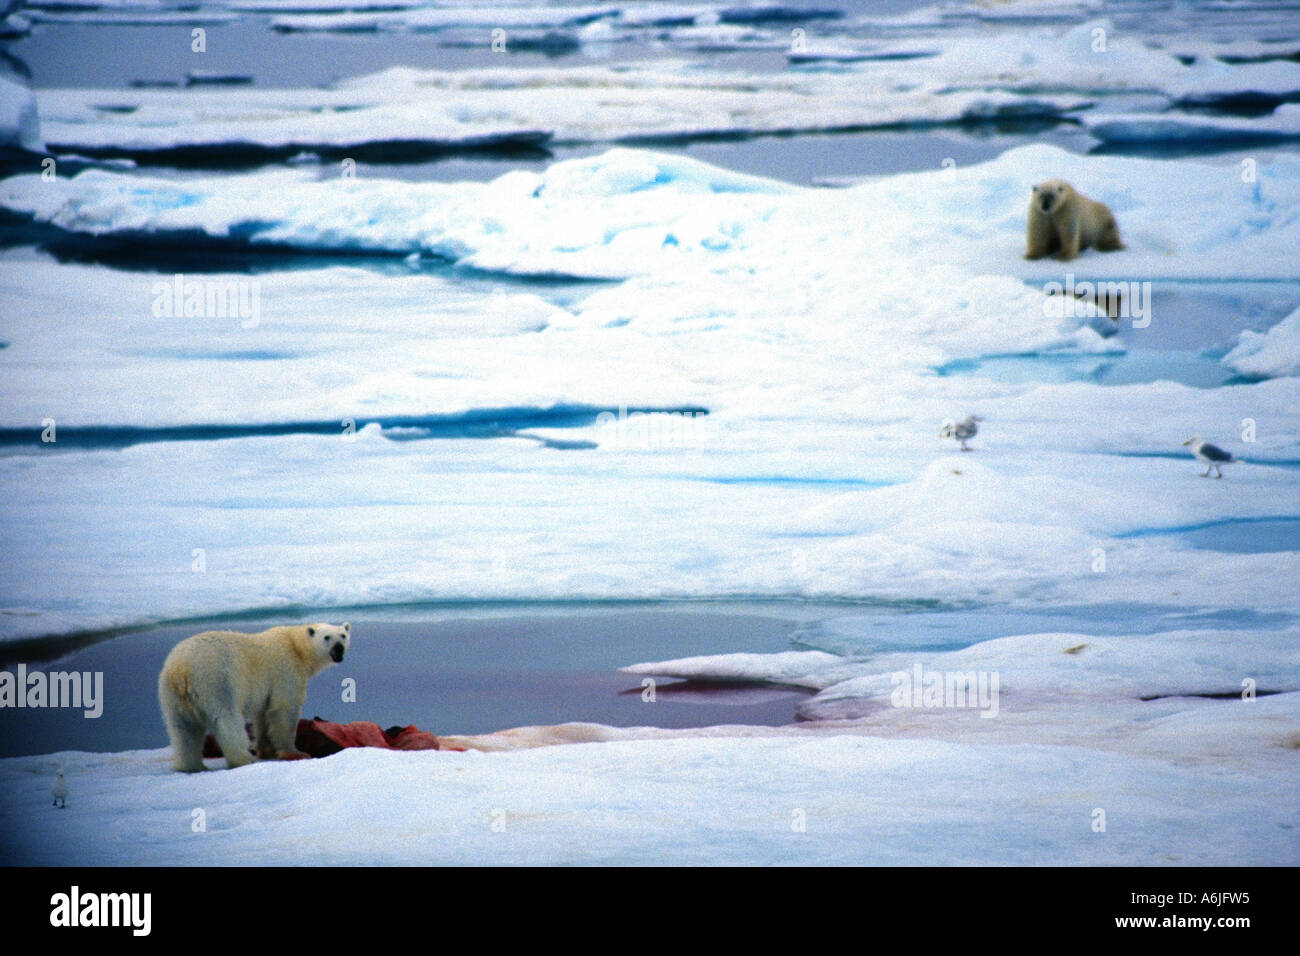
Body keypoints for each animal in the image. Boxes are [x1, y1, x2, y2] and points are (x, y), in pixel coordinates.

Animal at [158, 622, 350, 772]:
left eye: (343, 635)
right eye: (326, 637)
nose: (339, 647)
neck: (295, 645)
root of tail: (180, 669)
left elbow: (263, 714)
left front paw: (266, 749)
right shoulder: (286, 670)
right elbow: (284, 710)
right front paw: (294, 752)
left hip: (172, 695)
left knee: (183, 730)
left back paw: (191, 766)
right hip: (216, 682)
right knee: (227, 720)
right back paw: (244, 758)